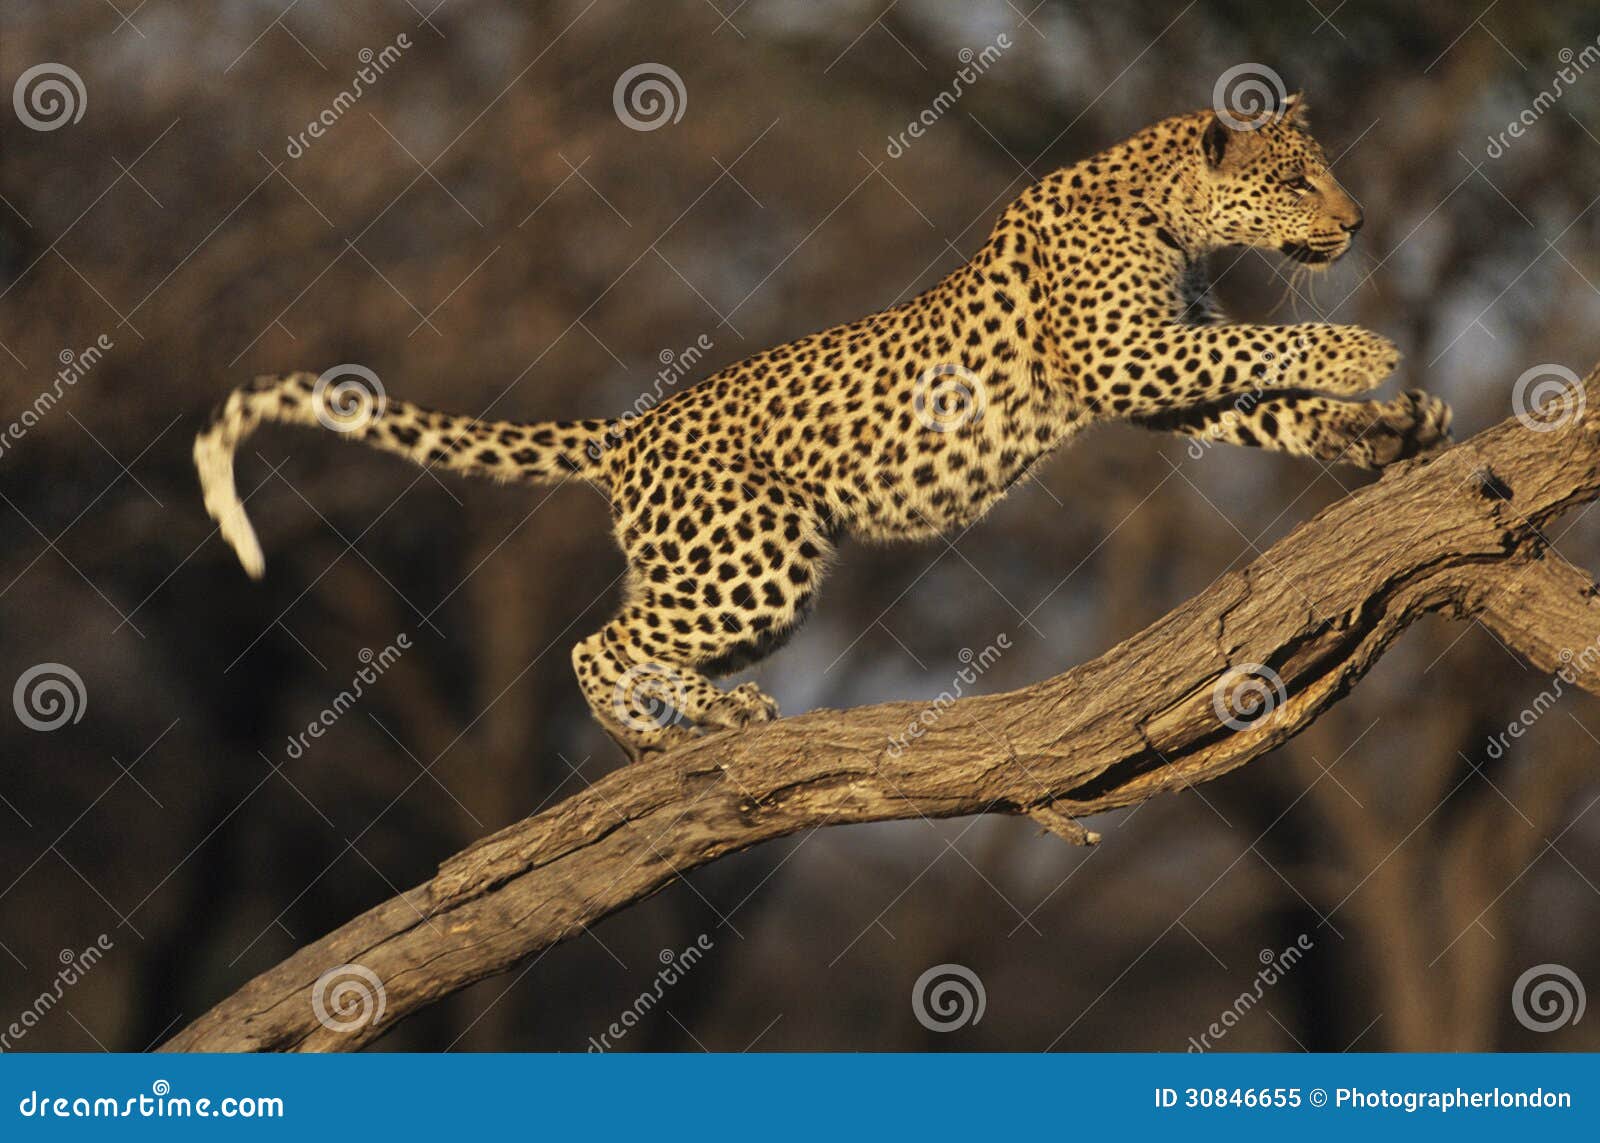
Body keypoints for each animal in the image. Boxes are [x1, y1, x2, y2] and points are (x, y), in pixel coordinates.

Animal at [194, 93, 1452, 761]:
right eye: (1295, 182)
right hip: (750, 559)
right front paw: (1362, 353)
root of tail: (629, 433)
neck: (1167, 214)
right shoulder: (1126, 355)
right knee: (602, 639)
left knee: (642, 637)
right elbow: (1266, 350)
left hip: (748, 573)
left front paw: (1384, 432)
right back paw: (657, 733)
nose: (1356, 221)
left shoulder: (1159, 373)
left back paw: (711, 713)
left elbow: (1267, 400)